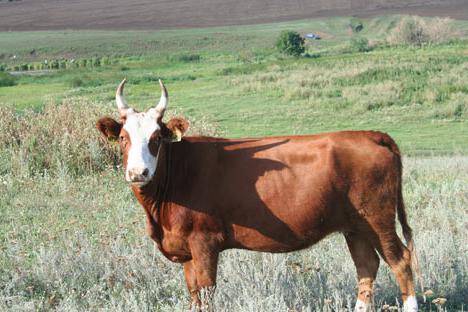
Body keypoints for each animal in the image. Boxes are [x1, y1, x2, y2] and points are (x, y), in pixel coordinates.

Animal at [96, 80, 420, 312]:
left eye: (156, 139)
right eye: (123, 138)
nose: (138, 172)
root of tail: (369, 134)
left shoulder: (204, 243)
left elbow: (207, 293)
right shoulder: (186, 250)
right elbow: (194, 295)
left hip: (378, 219)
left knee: (400, 261)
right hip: (354, 227)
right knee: (366, 266)